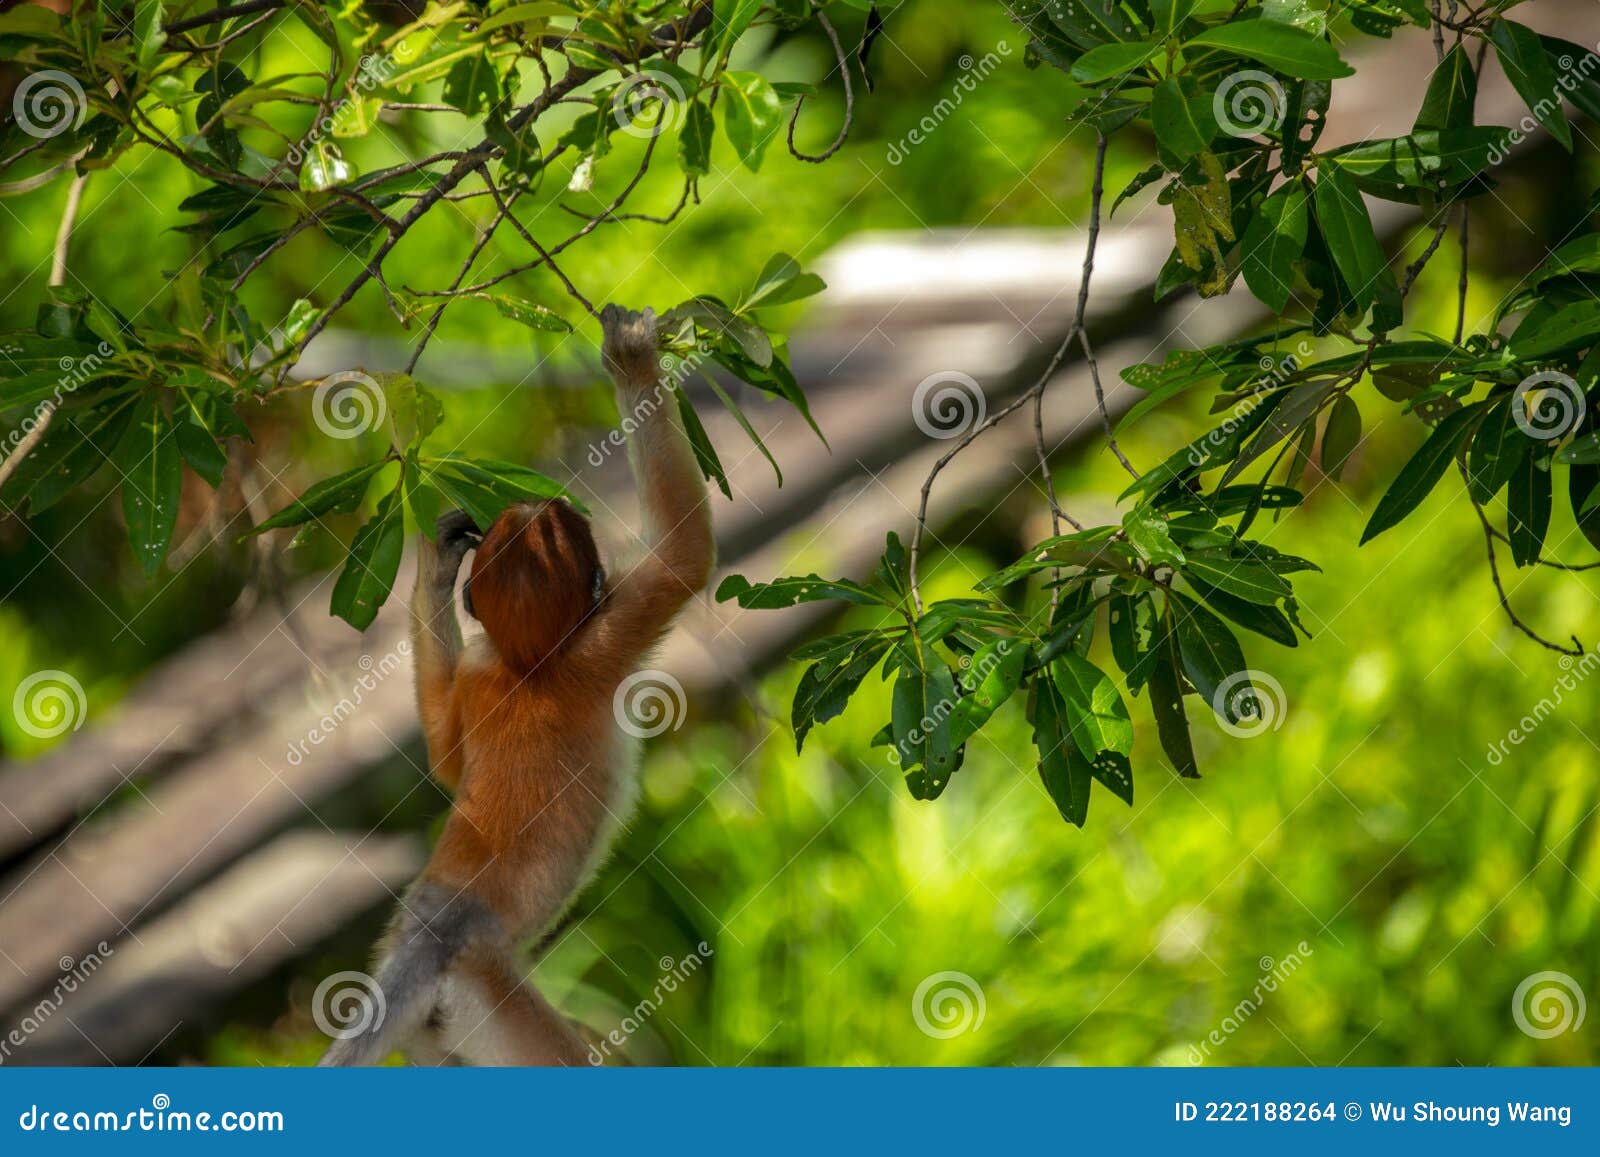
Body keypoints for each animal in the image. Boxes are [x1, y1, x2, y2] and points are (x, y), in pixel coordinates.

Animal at [320, 305, 714, 1066]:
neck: (529, 665)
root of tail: (433, 933)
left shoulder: (481, 665)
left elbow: (448, 757)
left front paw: (438, 563)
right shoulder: (599, 649)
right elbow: (683, 553)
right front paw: (631, 359)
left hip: (435, 1028)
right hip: (488, 987)